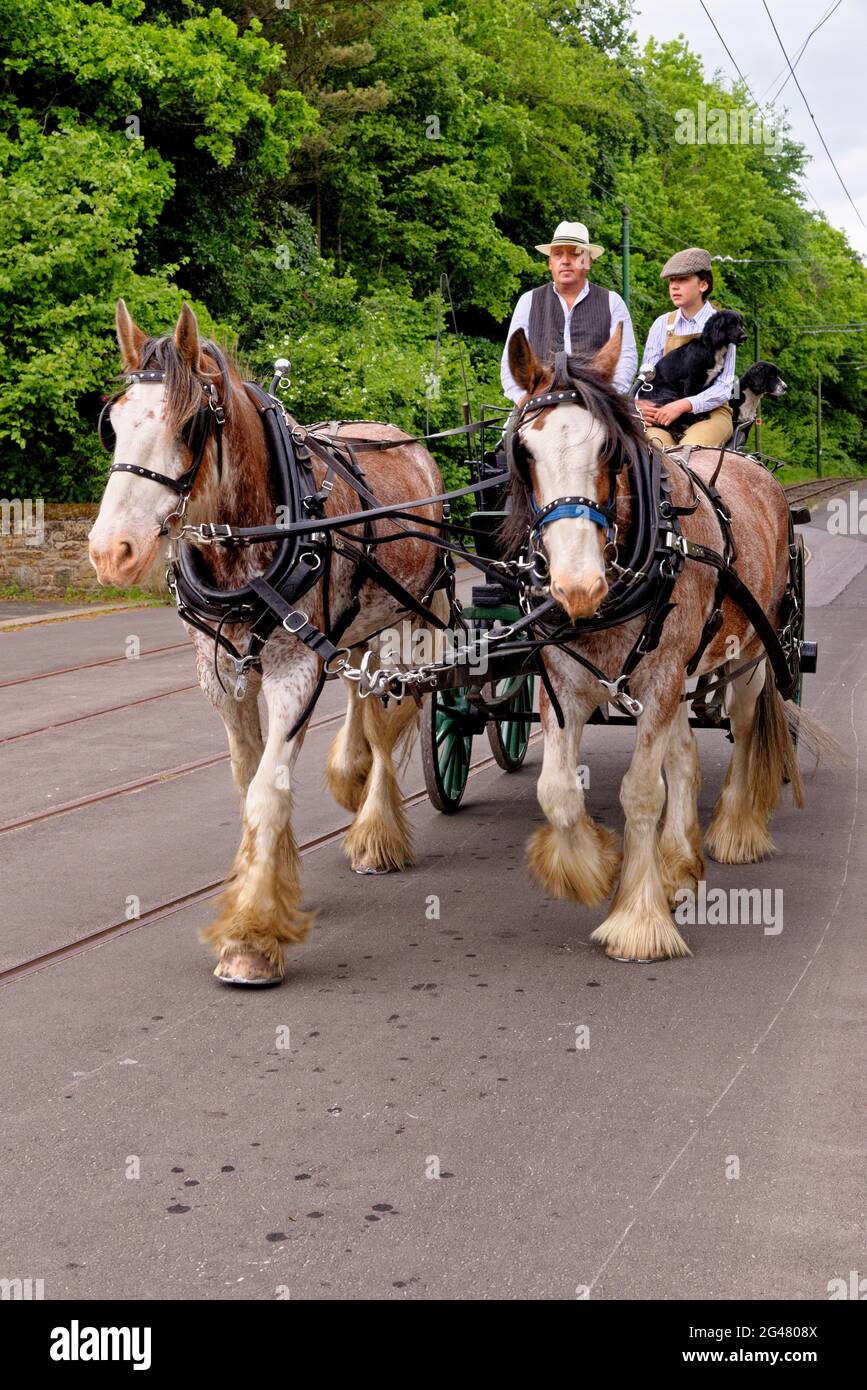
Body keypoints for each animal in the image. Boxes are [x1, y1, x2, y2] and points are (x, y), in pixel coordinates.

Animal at [89, 300, 446, 986]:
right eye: (111, 424)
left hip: (403, 623)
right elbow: (248, 779)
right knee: (362, 702)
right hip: (355, 628)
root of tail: (404, 438)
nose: (111, 551)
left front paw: (250, 937)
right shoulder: (223, 680)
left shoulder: (294, 671)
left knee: (386, 723)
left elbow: (267, 788)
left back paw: (375, 833)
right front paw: (268, 885)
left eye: (190, 425)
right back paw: (351, 775)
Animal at [504, 324, 806, 962]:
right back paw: (678, 862)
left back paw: (734, 832)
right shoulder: (564, 684)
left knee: (744, 730)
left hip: (748, 657)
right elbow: (557, 790)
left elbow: (642, 793)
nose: (577, 586)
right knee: (684, 757)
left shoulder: (662, 676)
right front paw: (589, 870)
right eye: (524, 452)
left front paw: (638, 921)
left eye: (609, 451)